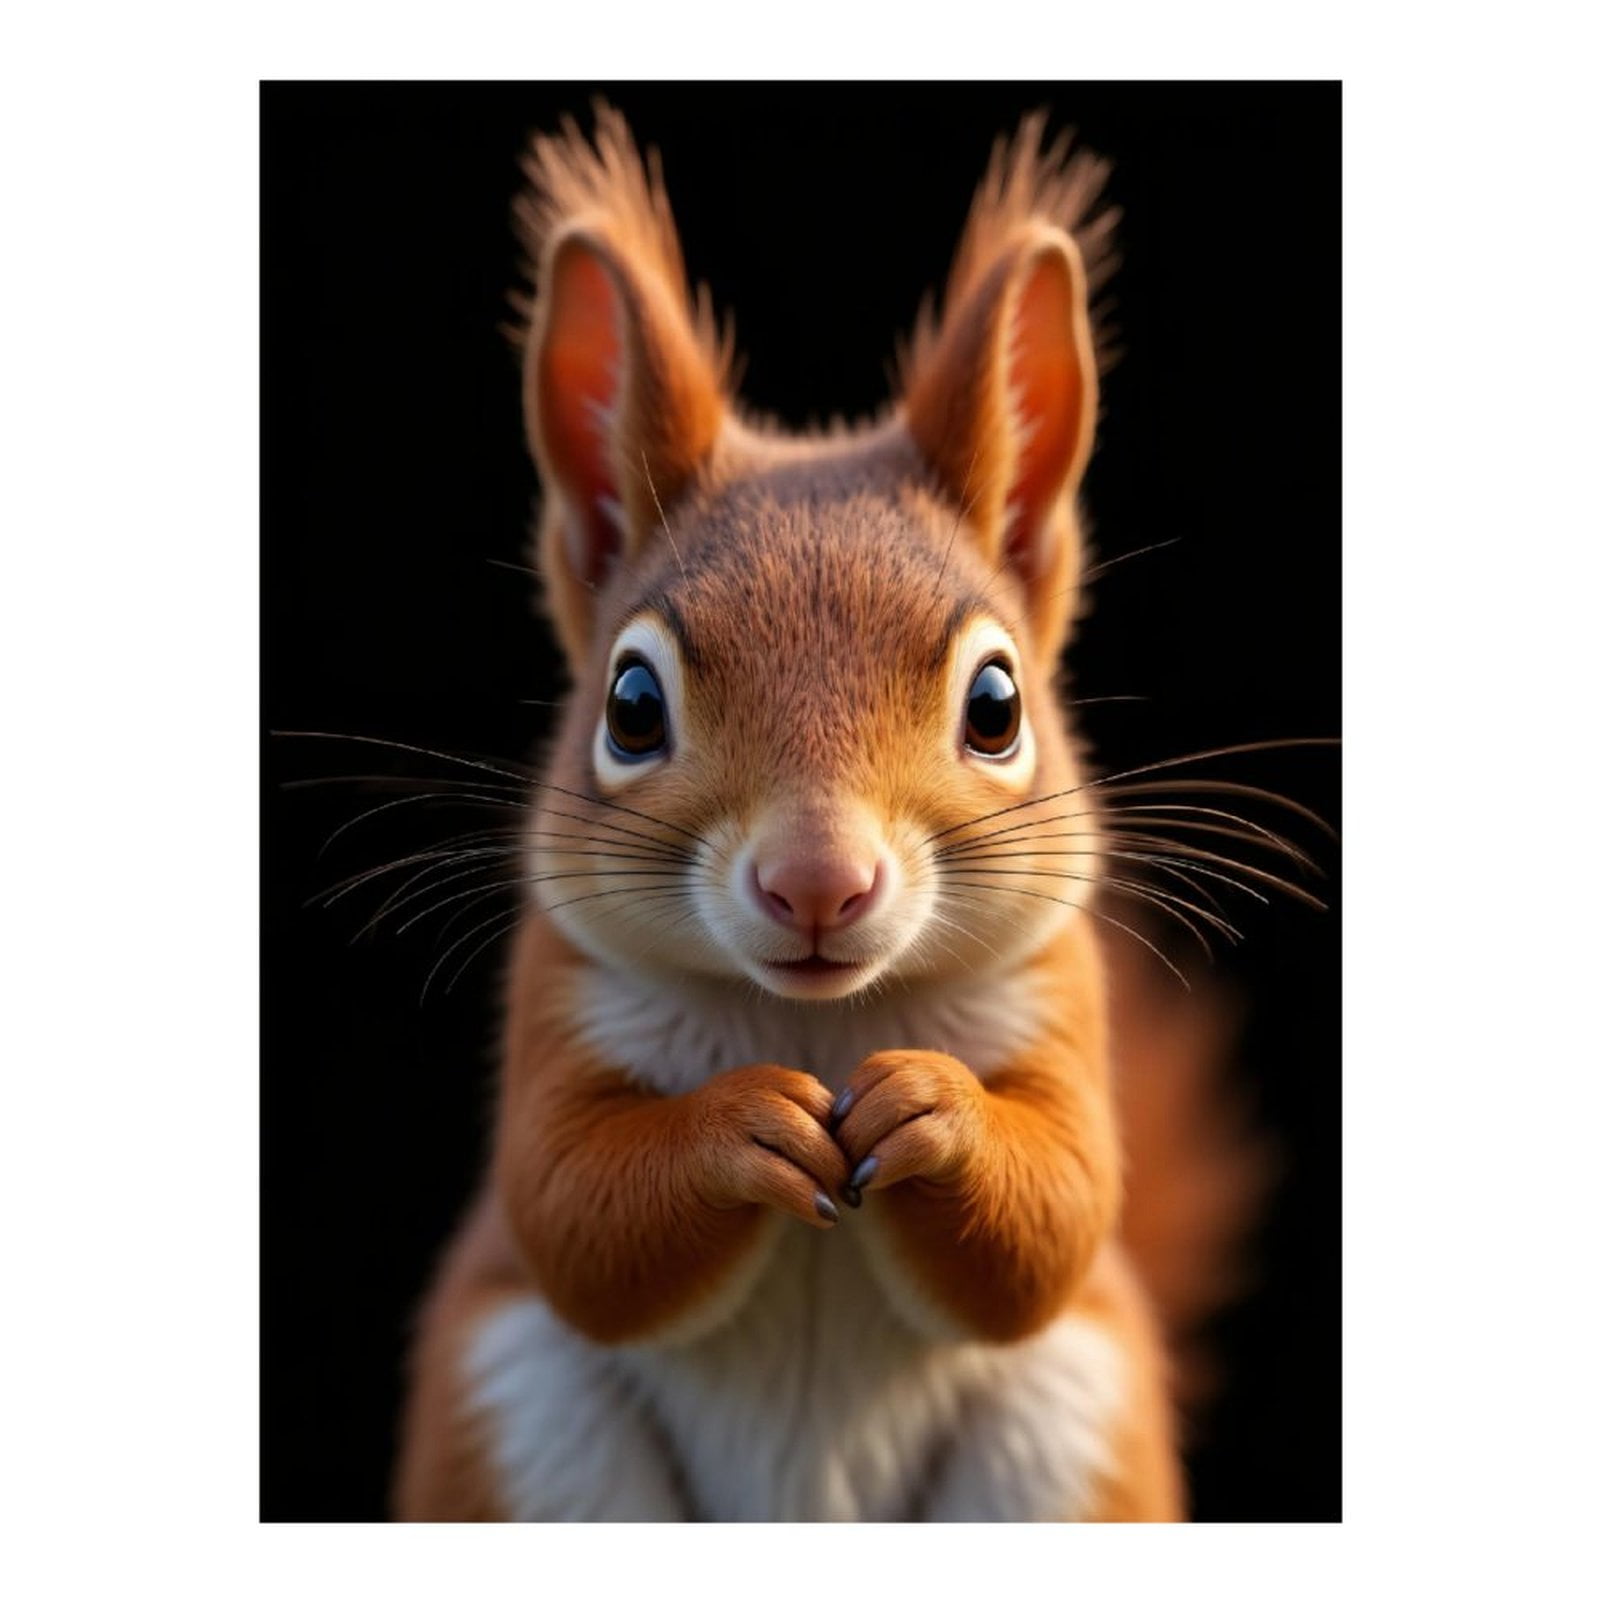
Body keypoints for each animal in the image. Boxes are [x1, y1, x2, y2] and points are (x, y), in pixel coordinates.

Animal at [390, 104, 1280, 1522]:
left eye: (996, 704)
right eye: (630, 703)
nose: (817, 882)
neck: (814, 1018)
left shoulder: (1057, 993)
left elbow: (1060, 1211)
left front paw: (937, 1111)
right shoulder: (558, 995)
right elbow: (574, 1210)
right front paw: (736, 1125)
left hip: (1062, 1438)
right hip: (526, 1422)